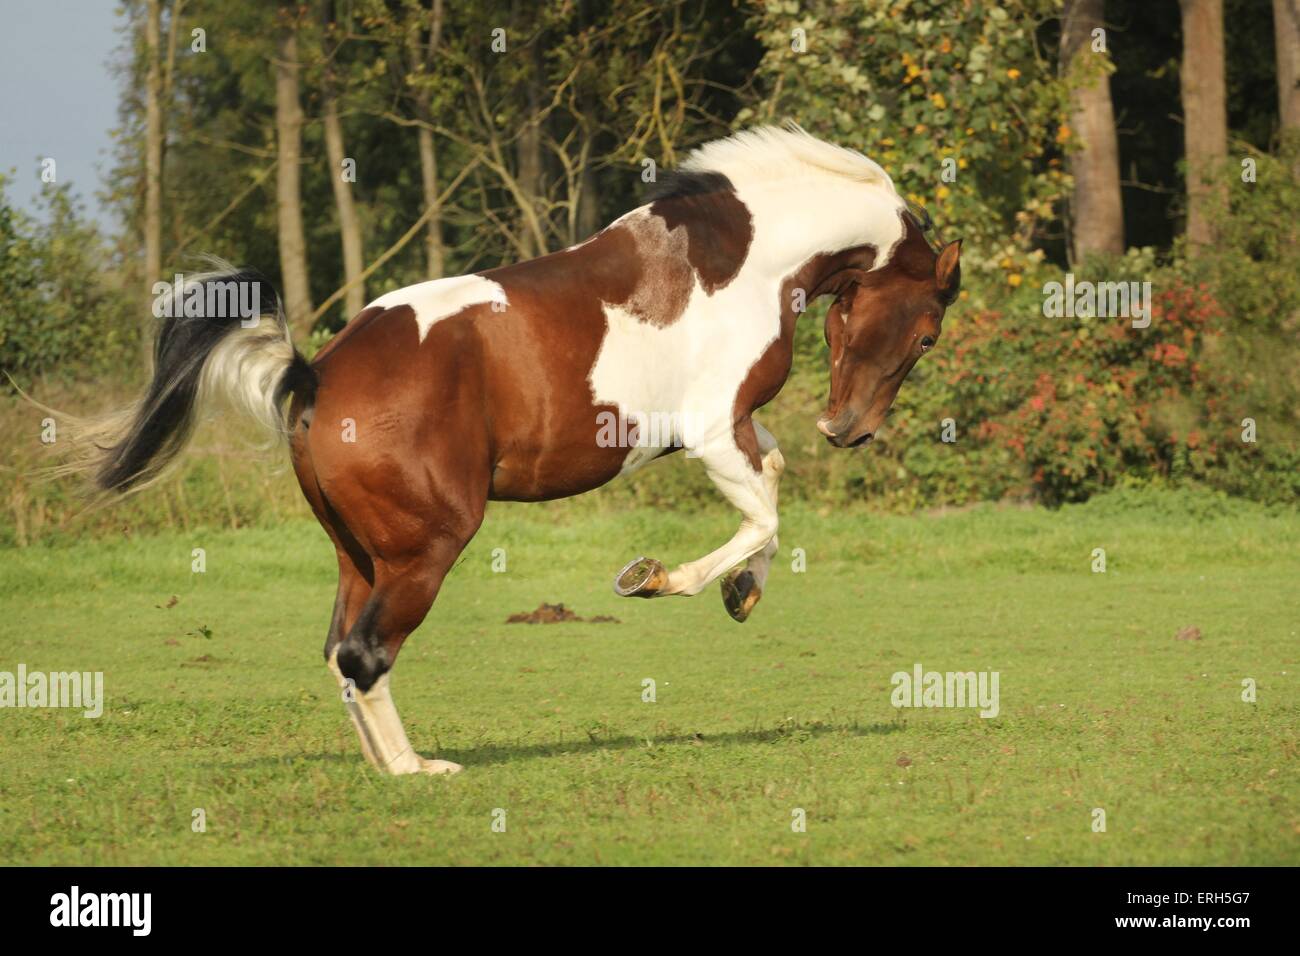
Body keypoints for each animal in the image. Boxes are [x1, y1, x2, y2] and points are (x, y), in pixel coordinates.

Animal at [60, 124, 961, 775]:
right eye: (926, 332)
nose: (850, 429)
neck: (738, 262)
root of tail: (313, 372)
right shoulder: (712, 432)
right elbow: (763, 514)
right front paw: (655, 580)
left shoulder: (734, 430)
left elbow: (772, 485)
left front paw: (742, 593)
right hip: (427, 546)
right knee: (365, 653)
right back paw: (418, 771)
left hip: (361, 554)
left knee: (341, 654)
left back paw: (390, 764)